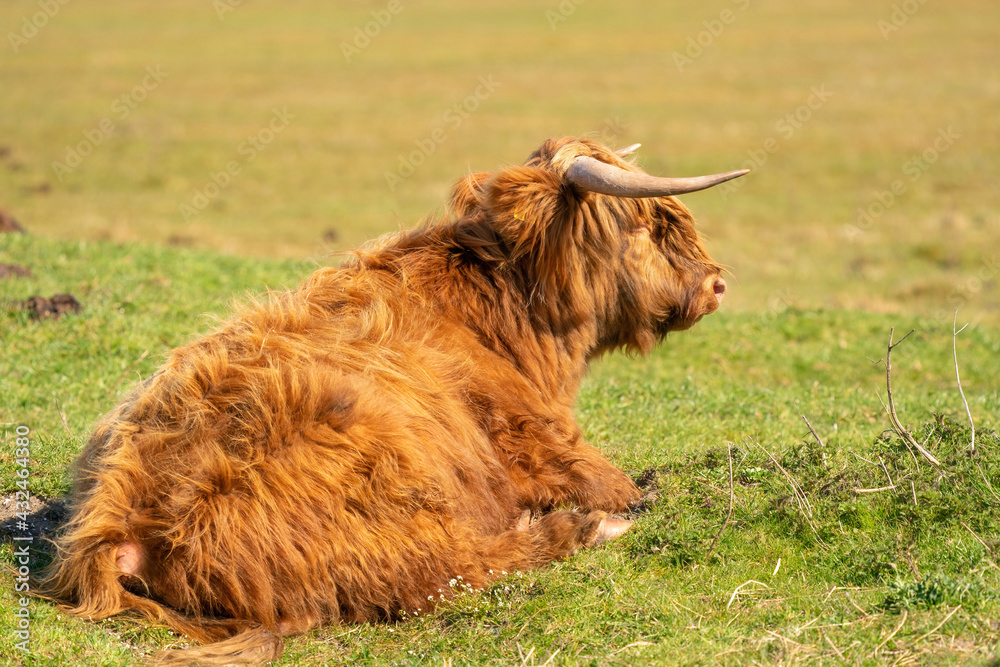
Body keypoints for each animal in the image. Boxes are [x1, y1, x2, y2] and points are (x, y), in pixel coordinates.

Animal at [36, 137, 746, 665]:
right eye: (644, 225)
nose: (716, 284)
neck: (502, 313)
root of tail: (121, 520)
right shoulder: (542, 444)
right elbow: (624, 485)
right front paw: (619, 506)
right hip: (395, 508)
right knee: (452, 571)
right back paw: (577, 528)